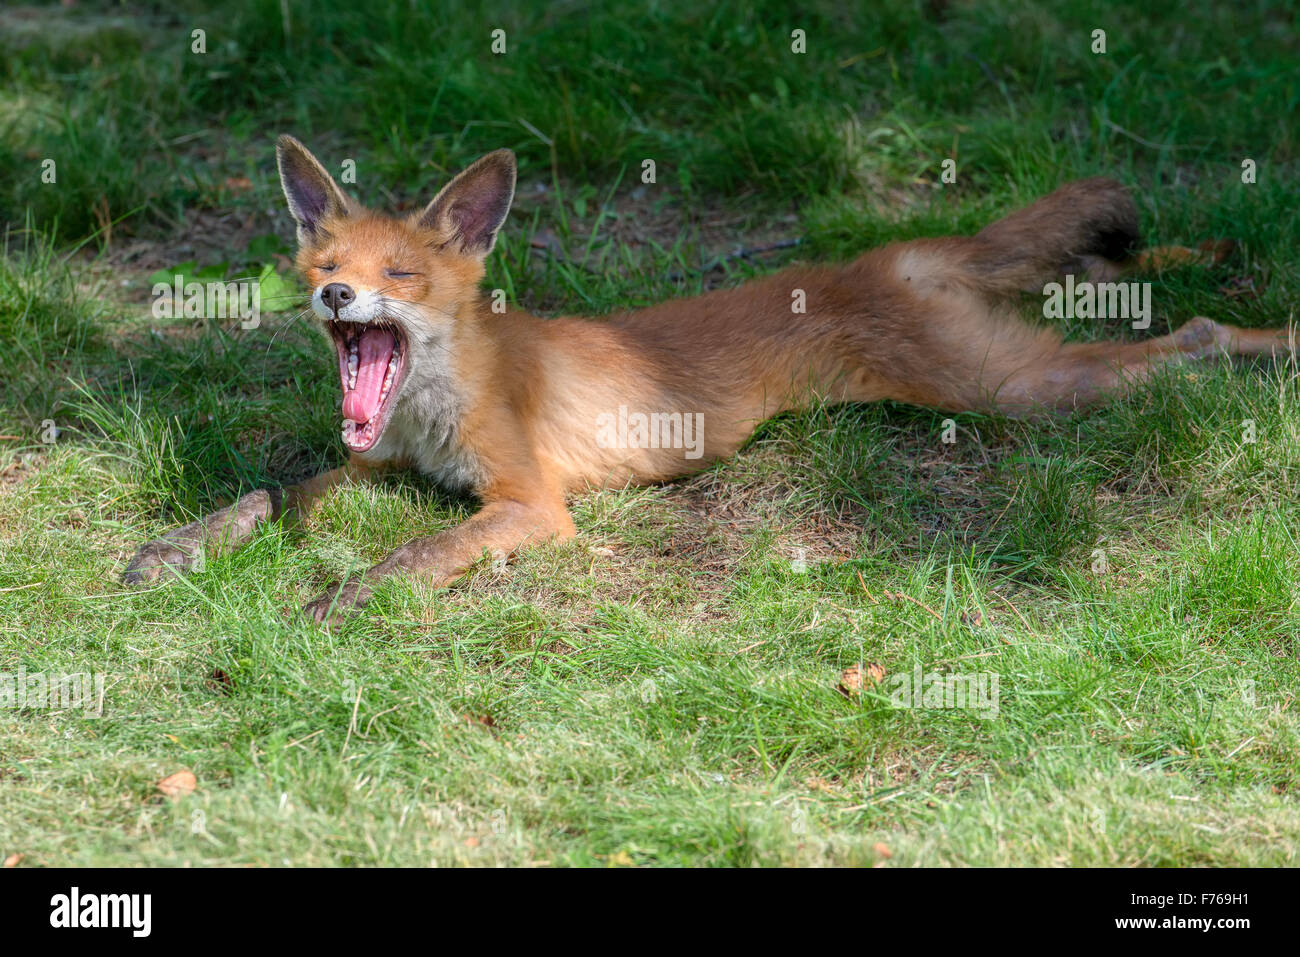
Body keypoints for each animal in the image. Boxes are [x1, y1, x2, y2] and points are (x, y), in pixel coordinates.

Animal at [122, 135, 1295, 623]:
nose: (335, 299)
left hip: (1008, 391)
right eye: (325, 264)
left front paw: (349, 593)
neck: (433, 404)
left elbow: (420, 552)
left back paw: (1274, 344)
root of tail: (895, 255)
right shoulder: (386, 465)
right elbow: (271, 491)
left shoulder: (532, 505)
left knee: (1191, 335)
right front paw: (181, 547)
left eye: (398, 276)